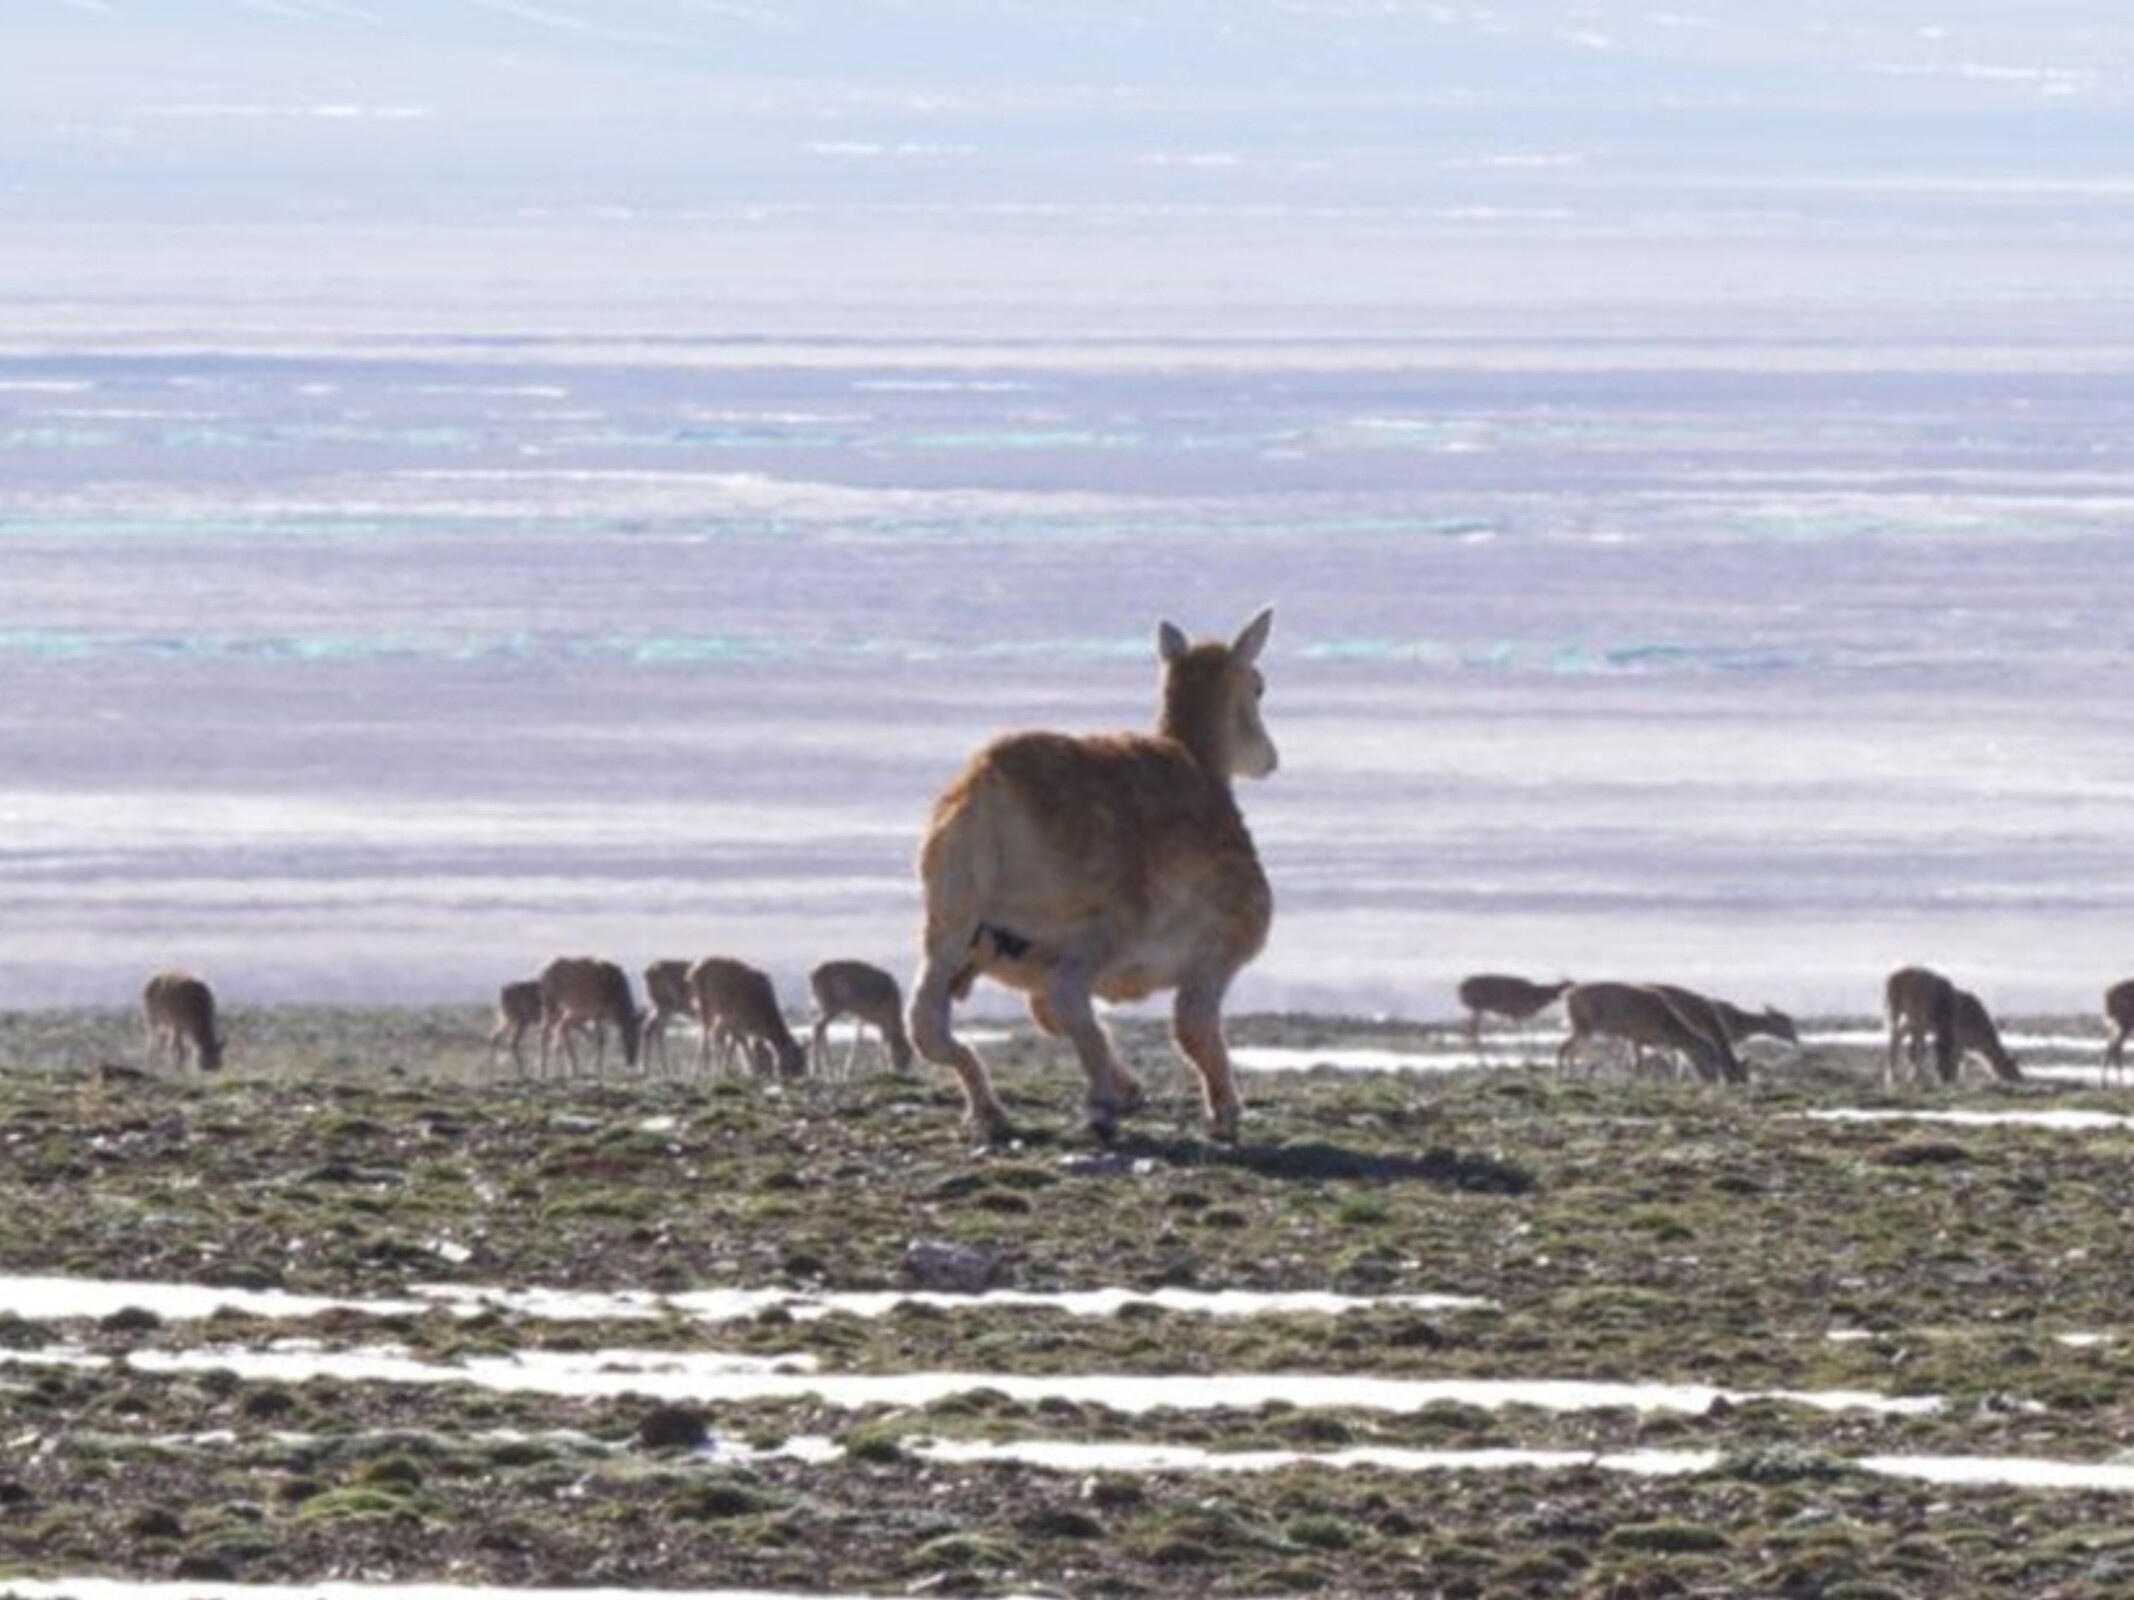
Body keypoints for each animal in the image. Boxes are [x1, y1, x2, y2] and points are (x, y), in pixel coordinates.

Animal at [909, 608, 1277, 1145]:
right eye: (1258, 686)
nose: (1269, 758)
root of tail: (988, 790)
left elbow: (1046, 1015)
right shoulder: (1217, 952)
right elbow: (1192, 1026)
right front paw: (1225, 1114)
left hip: (951, 929)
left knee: (928, 1024)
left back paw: (993, 1111)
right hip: (1100, 928)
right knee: (1066, 995)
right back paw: (1104, 1102)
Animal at [1556, 982, 1737, 1085]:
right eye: (1711, 1057)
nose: (1713, 1080)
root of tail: (1567, 995)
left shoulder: (1646, 1041)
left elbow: (1664, 1061)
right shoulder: (1635, 1034)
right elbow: (1639, 1065)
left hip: (1583, 1027)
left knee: (1570, 1049)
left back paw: (1573, 1073)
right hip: (1585, 1025)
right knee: (1565, 1048)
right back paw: (1568, 1073)